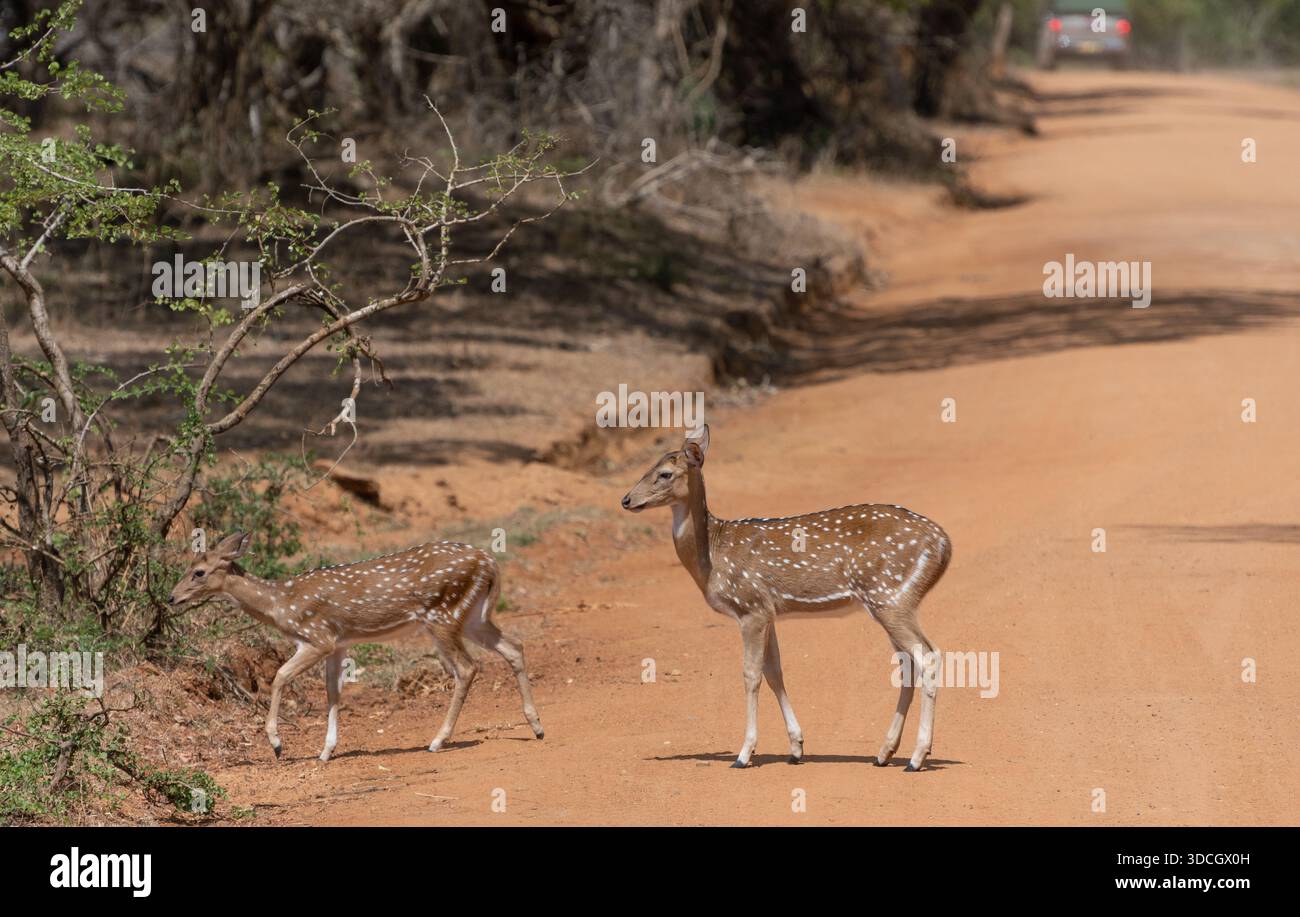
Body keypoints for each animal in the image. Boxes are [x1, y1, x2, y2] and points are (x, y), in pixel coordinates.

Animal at [168, 532, 544, 762]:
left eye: (199, 572)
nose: (172, 597)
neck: (280, 604)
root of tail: (490, 562)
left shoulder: (317, 637)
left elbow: (279, 676)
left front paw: (277, 744)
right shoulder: (338, 644)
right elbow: (333, 693)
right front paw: (326, 751)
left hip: (443, 615)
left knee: (467, 668)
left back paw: (438, 740)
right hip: (473, 617)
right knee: (514, 647)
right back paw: (537, 727)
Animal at [621, 425, 951, 771]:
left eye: (665, 473)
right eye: (648, 467)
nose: (626, 500)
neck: (712, 555)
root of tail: (944, 543)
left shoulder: (750, 606)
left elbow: (751, 675)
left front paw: (743, 754)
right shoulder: (769, 611)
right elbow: (774, 672)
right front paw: (796, 748)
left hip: (890, 596)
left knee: (928, 656)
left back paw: (916, 757)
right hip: (891, 601)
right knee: (907, 663)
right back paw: (885, 752)